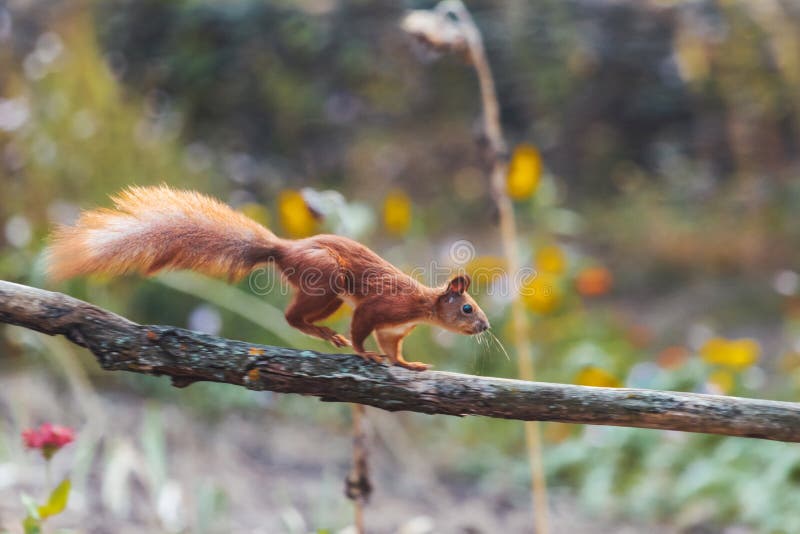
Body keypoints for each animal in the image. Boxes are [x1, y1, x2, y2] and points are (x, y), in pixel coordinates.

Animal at [46, 185, 490, 371]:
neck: (422, 307)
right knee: (292, 317)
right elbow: (363, 330)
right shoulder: (383, 307)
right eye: (468, 308)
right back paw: (325, 334)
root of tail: (285, 249)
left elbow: (393, 349)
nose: (485, 325)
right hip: (327, 281)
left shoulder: (394, 330)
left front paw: (409, 364)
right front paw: (364, 355)